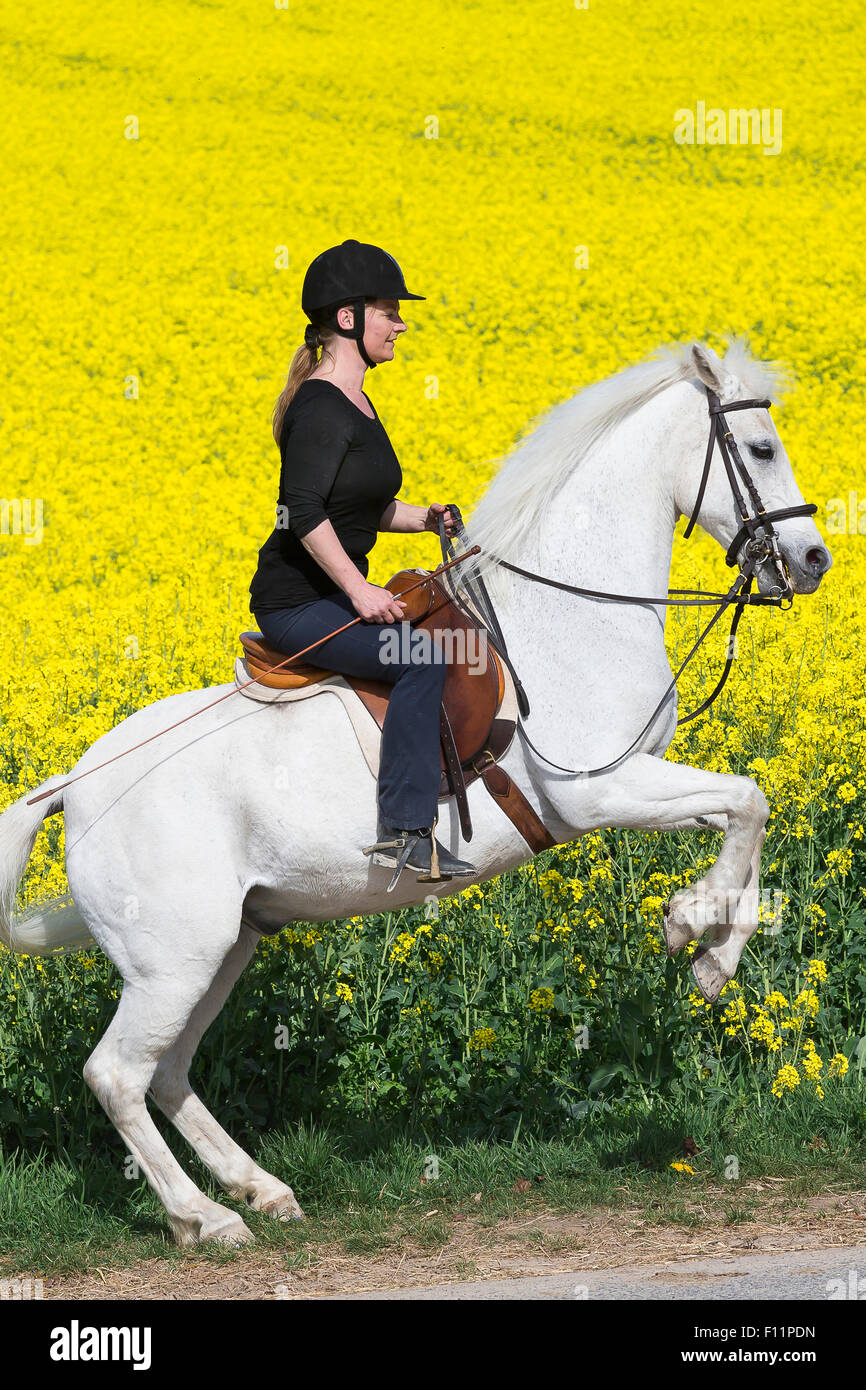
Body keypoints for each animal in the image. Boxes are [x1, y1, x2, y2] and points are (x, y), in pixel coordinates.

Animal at [0, 339, 831, 1246]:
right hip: (173, 958)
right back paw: (206, 1221)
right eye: (761, 448)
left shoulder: (640, 781)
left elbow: (746, 815)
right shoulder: (596, 790)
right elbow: (749, 801)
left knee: (169, 1071)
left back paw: (263, 1191)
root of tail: (73, 787)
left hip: (221, 945)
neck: (573, 610)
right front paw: (694, 930)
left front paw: (712, 952)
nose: (814, 560)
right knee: (118, 1073)